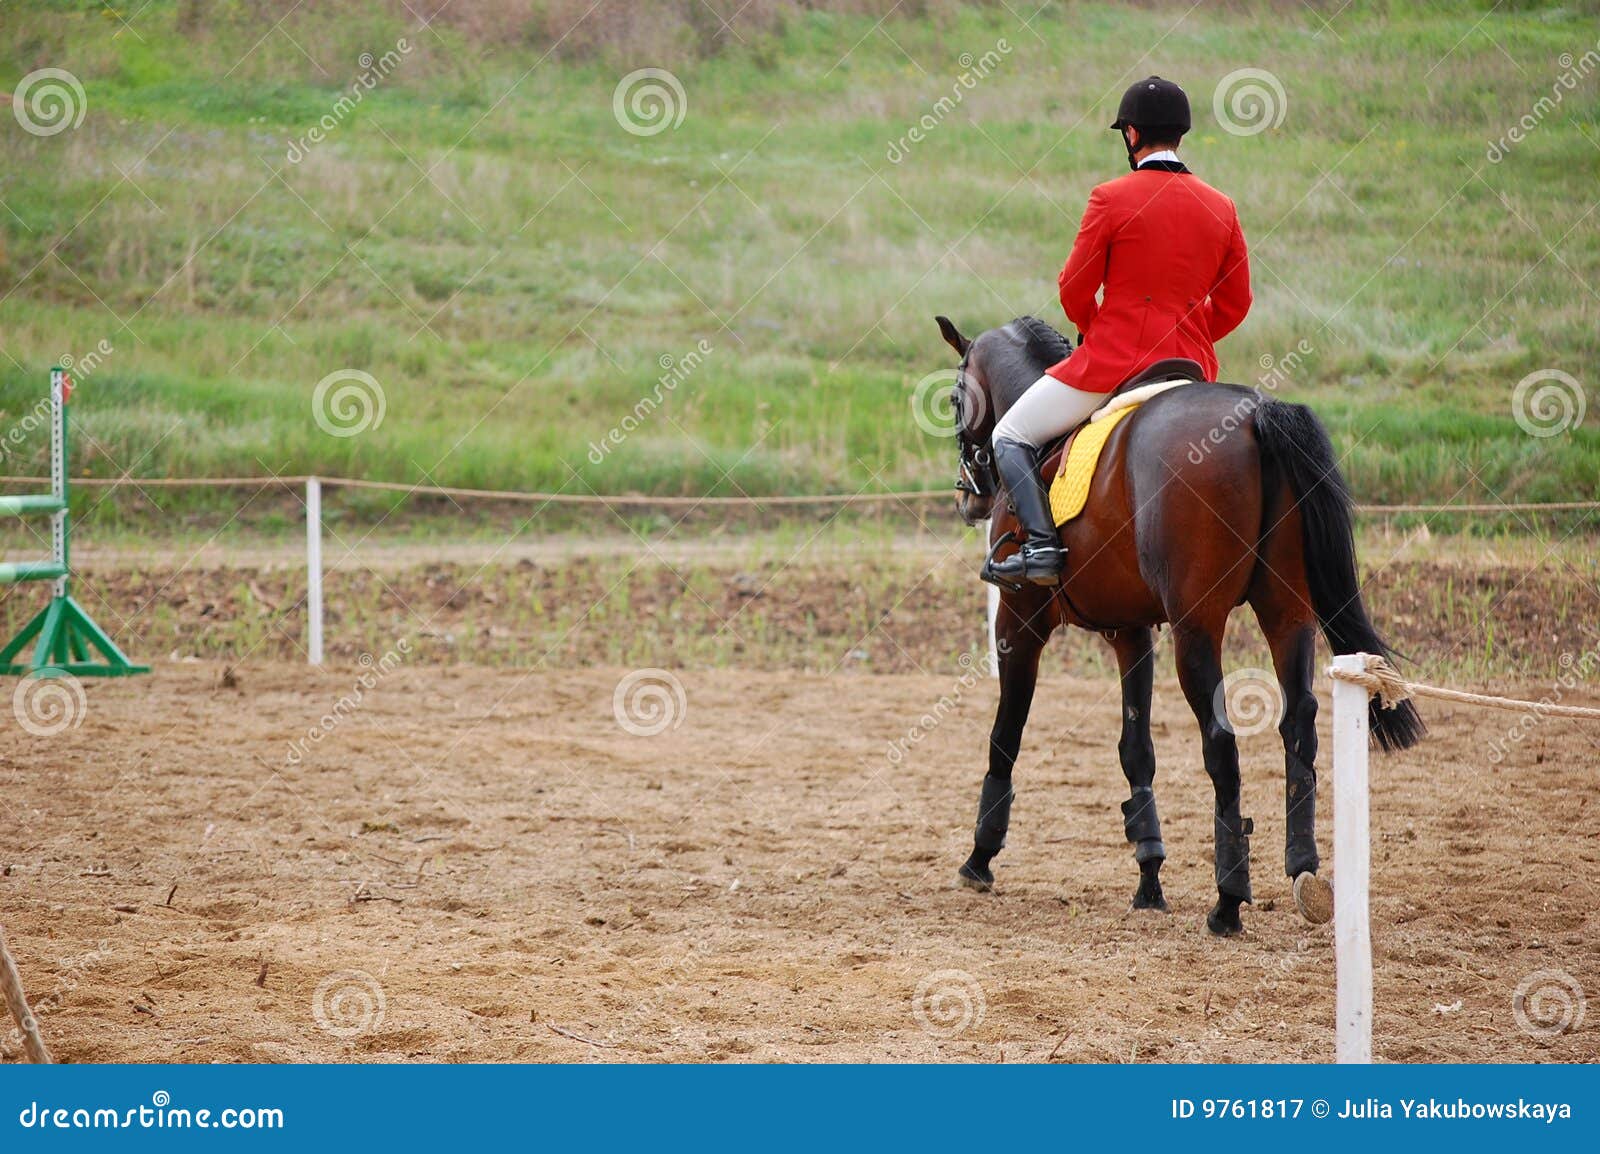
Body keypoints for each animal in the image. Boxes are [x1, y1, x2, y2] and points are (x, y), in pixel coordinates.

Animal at [934, 313, 1423, 936]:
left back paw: (1229, 900)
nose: (967, 497)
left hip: (1196, 629)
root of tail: (1255, 415)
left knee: (1221, 740)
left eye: (955, 398)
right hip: (1286, 614)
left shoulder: (1020, 623)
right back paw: (1304, 872)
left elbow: (1006, 735)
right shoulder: (1130, 632)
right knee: (1299, 723)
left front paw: (979, 858)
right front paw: (1149, 875)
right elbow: (1136, 749)